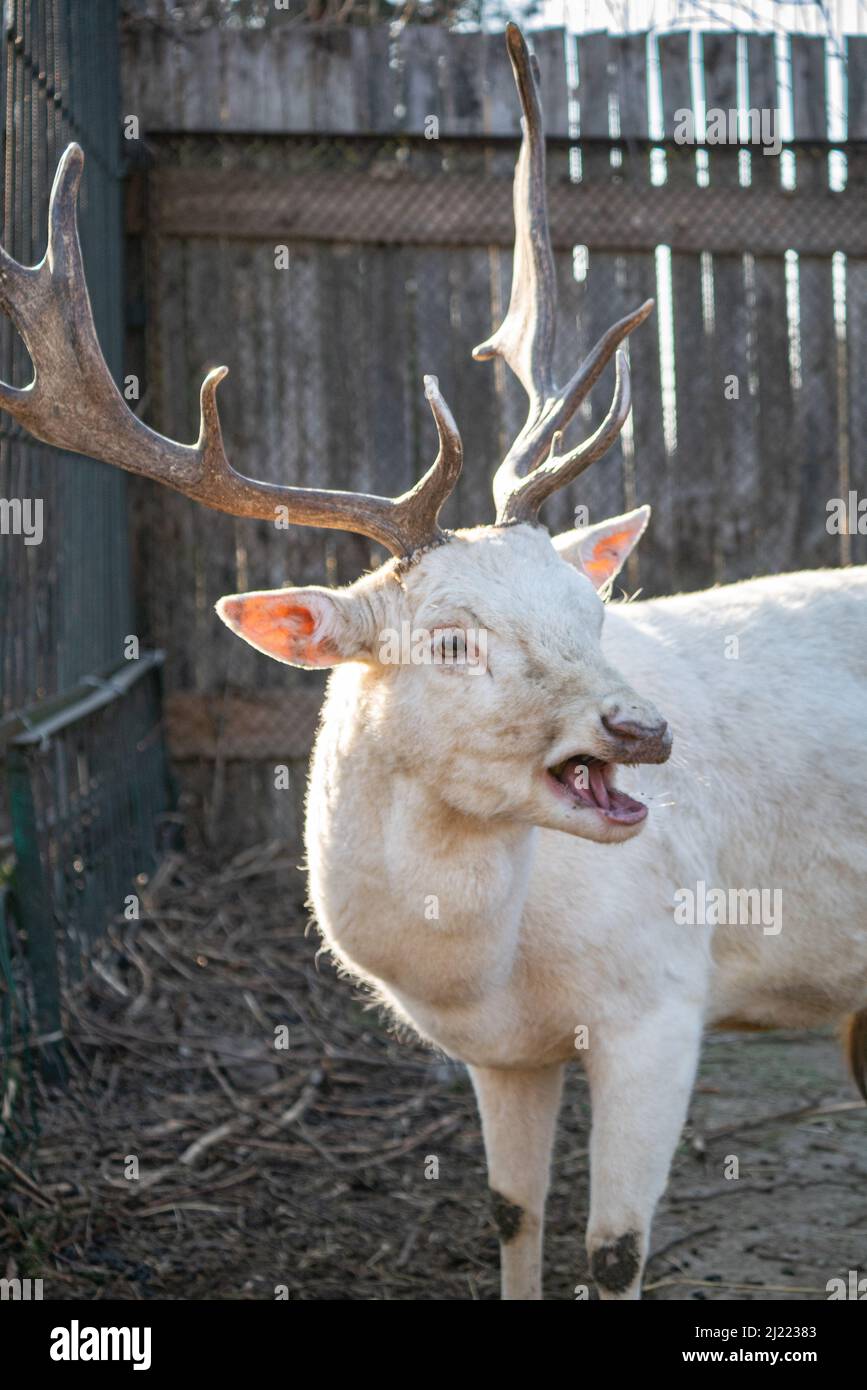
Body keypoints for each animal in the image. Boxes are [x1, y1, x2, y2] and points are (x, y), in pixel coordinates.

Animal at [1, 23, 866, 1302]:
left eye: (592, 607)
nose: (644, 731)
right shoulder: (501, 1055)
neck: (487, 971)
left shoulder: (661, 1002)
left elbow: (614, 1253)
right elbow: (511, 1213)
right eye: (453, 639)